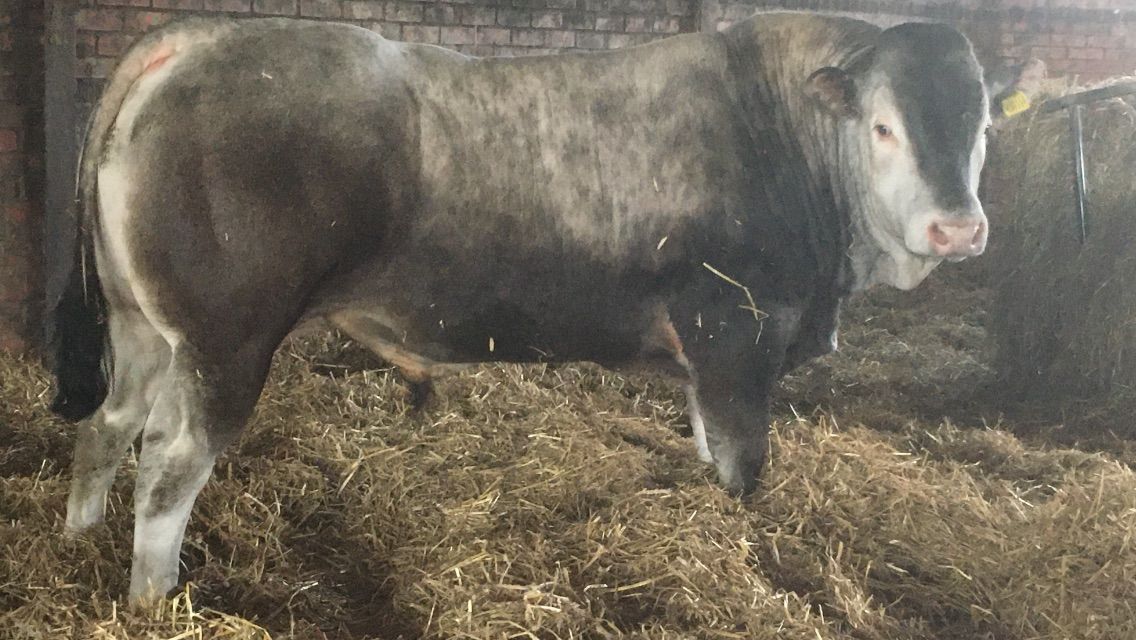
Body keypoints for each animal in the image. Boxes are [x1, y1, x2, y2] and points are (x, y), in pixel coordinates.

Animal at [48, 11, 993, 604]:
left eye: (983, 127)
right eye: (883, 127)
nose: (957, 228)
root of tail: (203, 35)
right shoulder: (736, 335)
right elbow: (739, 467)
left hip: (142, 329)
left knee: (106, 428)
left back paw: (76, 539)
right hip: (225, 342)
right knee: (168, 467)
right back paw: (154, 598)